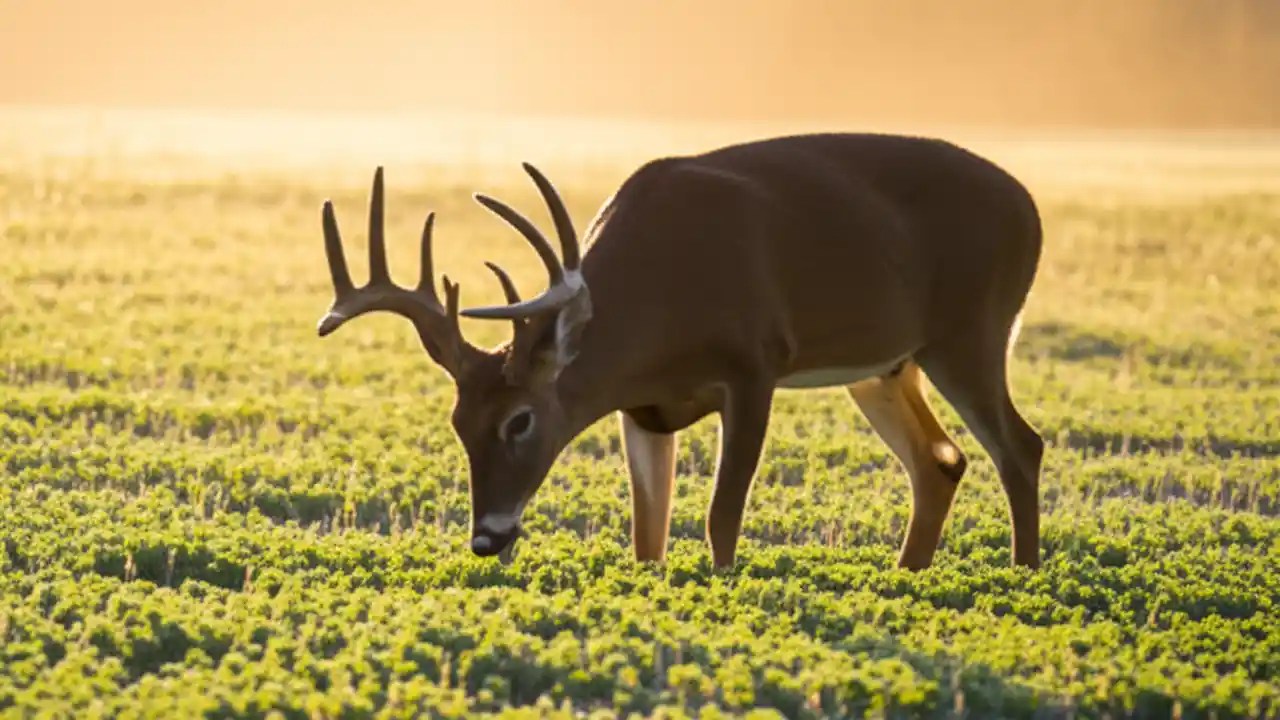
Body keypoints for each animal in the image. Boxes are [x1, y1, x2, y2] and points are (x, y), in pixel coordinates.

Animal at [316, 133, 1045, 570]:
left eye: (519, 420)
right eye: (458, 423)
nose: (486, 538)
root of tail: (1029, 207)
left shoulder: (756, 363)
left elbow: (722, 516)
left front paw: (723, 589)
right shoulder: (640, 409)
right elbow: (648, 532)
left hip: (972, 330)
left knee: (1020, 445)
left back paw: (1022, 574)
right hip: (888, 367)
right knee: (940, 461)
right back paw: (906, 576)